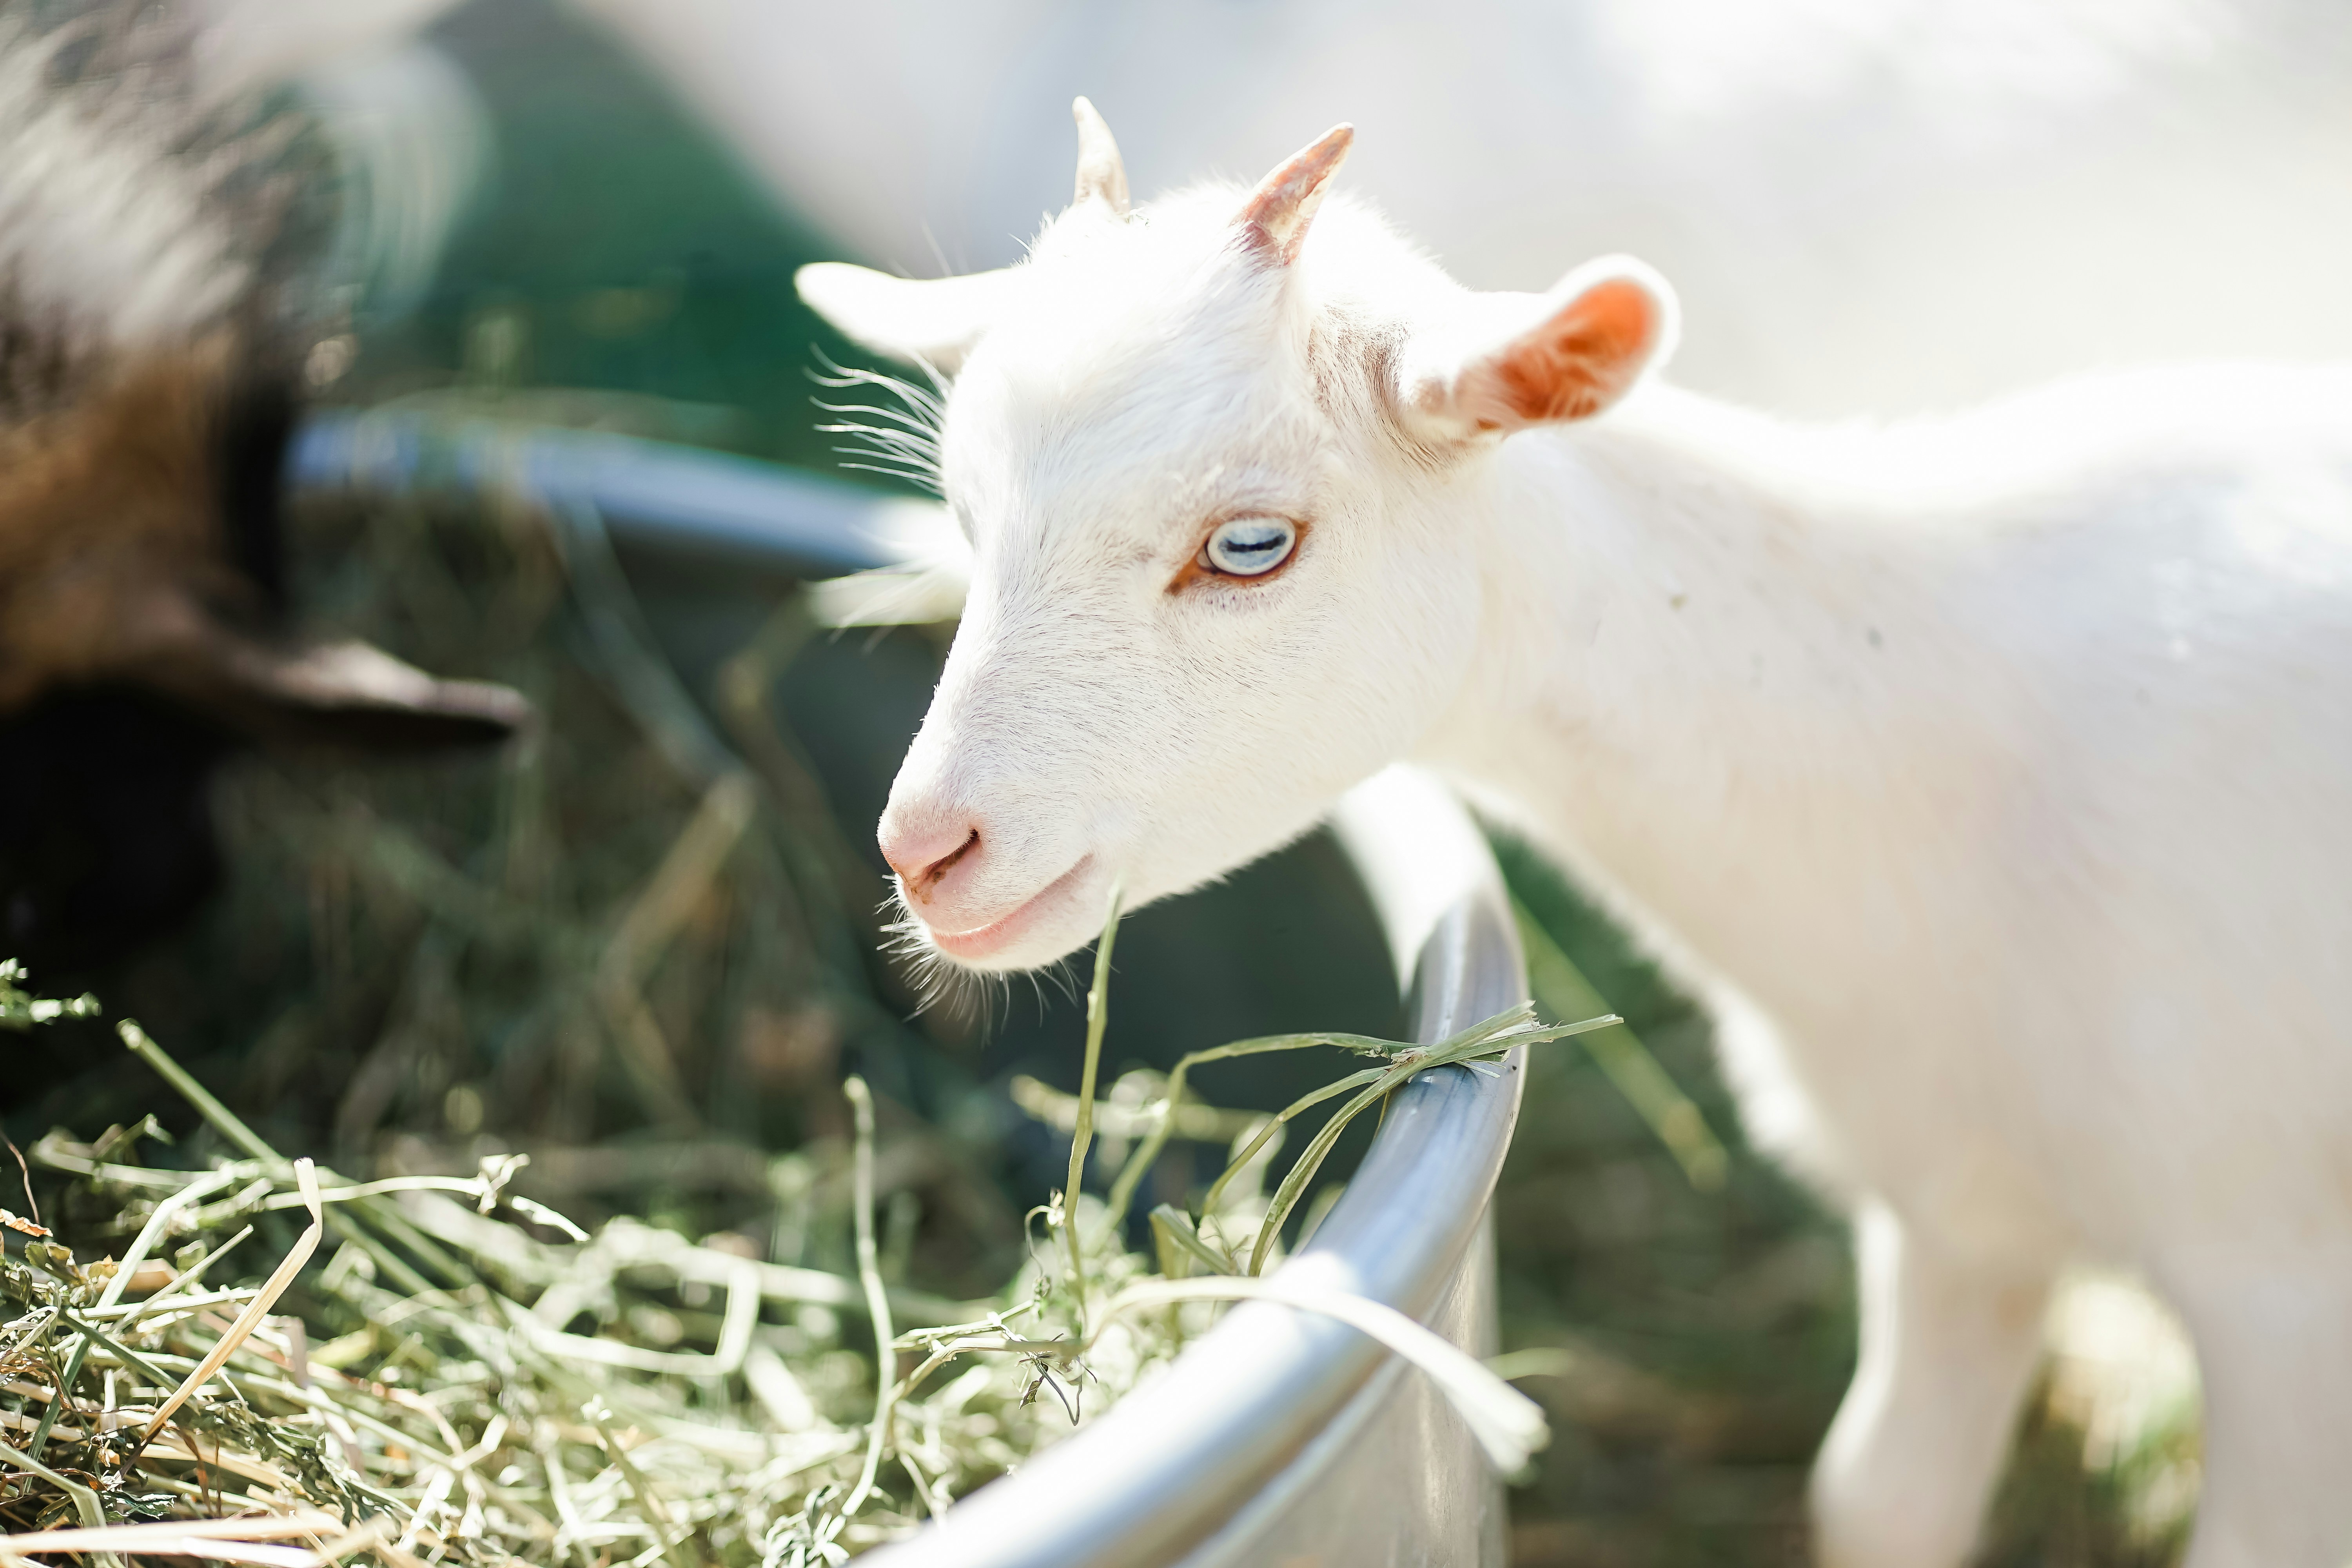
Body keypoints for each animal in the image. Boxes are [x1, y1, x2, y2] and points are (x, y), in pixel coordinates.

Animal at [797, 102, 2352, 1568]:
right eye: (961, 511)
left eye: (1249, 545)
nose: (927, 849)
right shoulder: (1953, 1210)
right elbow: (1877, 1504)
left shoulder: (2278, 1282)